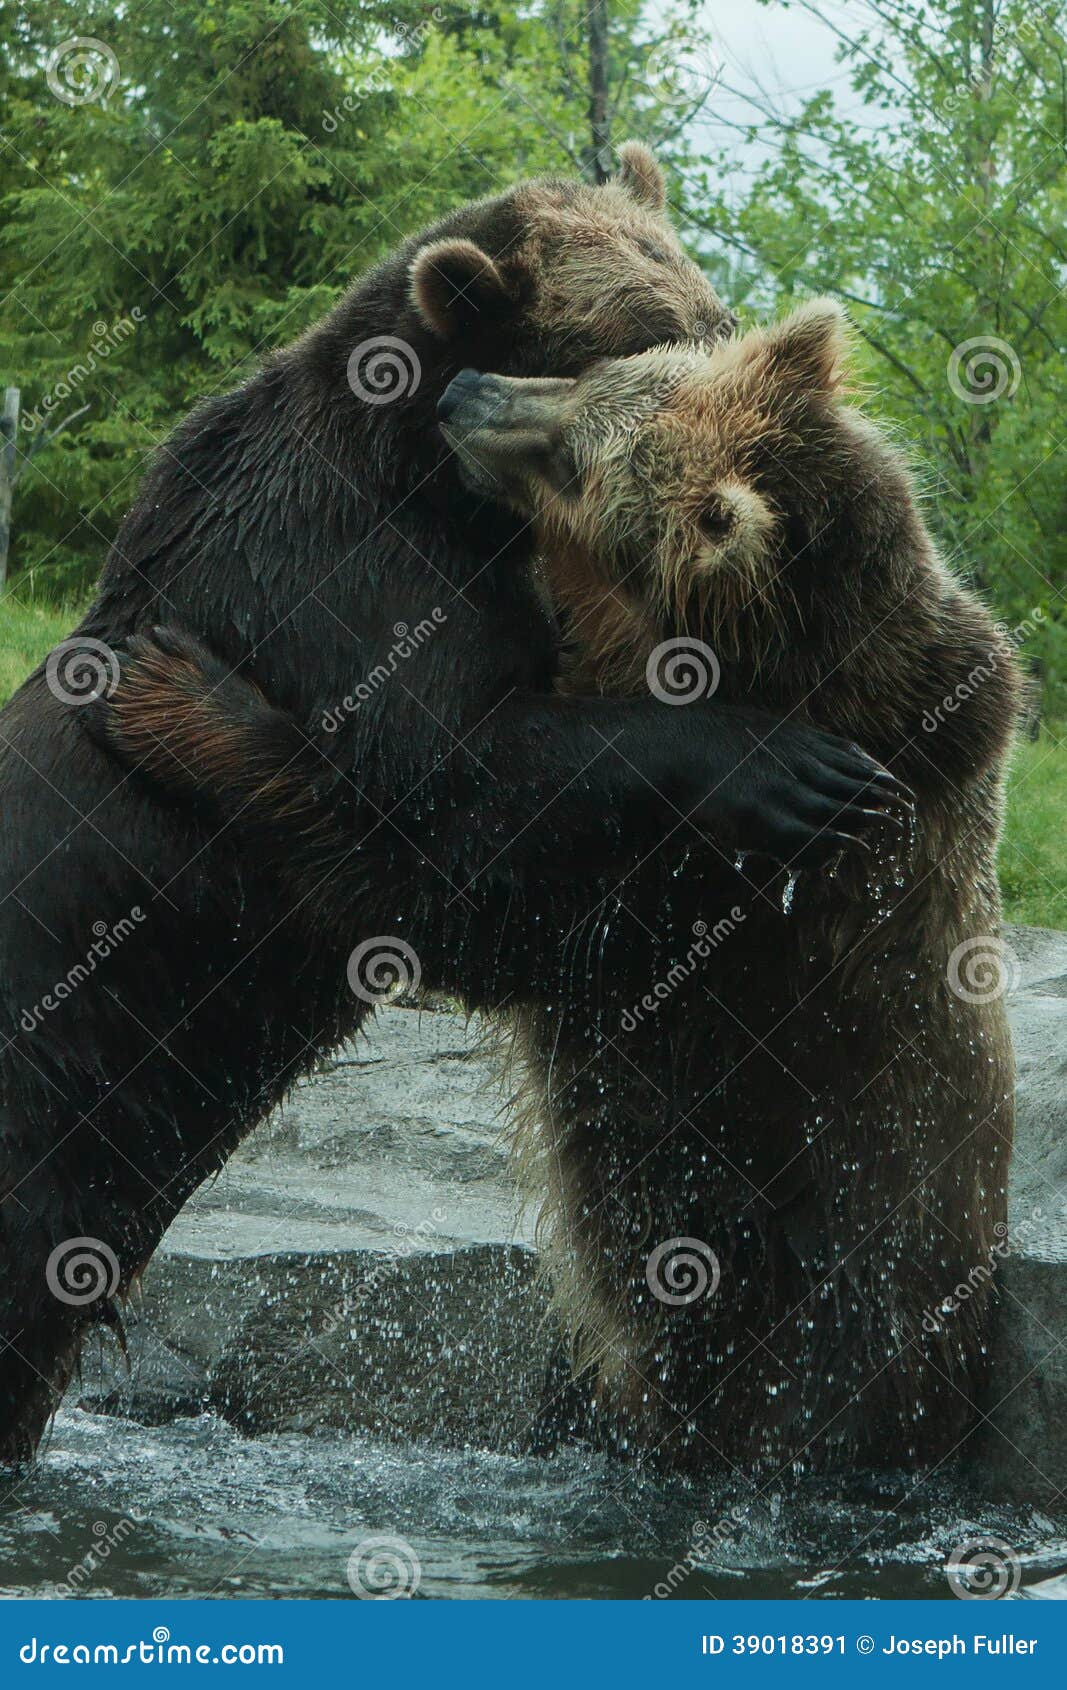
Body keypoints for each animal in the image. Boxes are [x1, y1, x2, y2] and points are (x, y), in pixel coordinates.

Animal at [0, 150, 895, 1464]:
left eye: (707, 310)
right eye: (645, 335)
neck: (432, 485)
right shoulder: (341, 592)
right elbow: (457, 801)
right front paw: (778, 765)